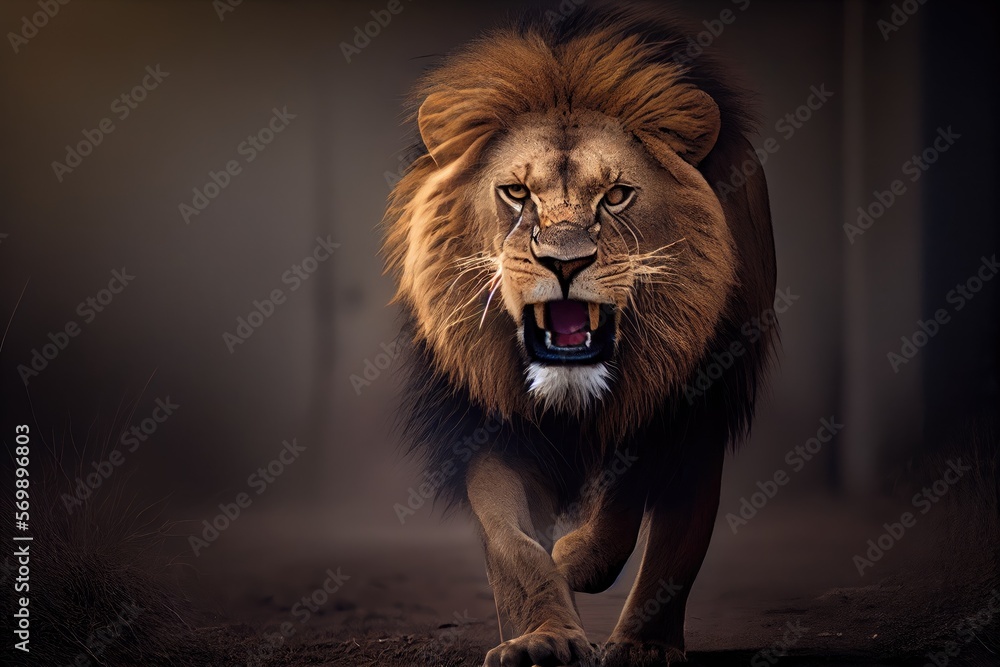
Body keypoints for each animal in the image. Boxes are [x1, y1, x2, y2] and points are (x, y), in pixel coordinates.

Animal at [382, 6, 777, 666]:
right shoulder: (495, 427)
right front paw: (541, 638)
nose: (564, 263)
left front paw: (640, 642)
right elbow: (514, 548)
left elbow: (669, 542)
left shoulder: (690, 414)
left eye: (616, 195)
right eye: (517, 192)